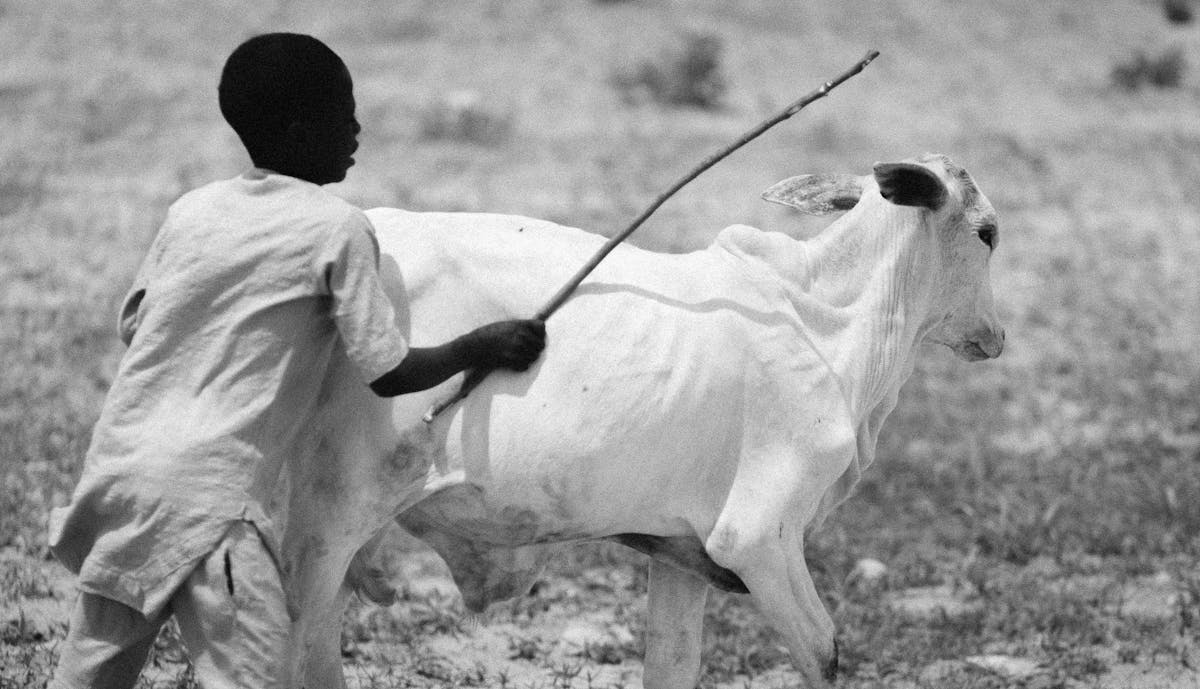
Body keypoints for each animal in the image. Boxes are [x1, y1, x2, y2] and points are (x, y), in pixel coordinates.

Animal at [275, 153, 1003, 689]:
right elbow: (824, 652)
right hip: (329, 521)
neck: (827, 318)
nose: (995, 337)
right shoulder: (756, 538)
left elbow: (673, 666)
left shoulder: (680, 552)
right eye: (988, 232)